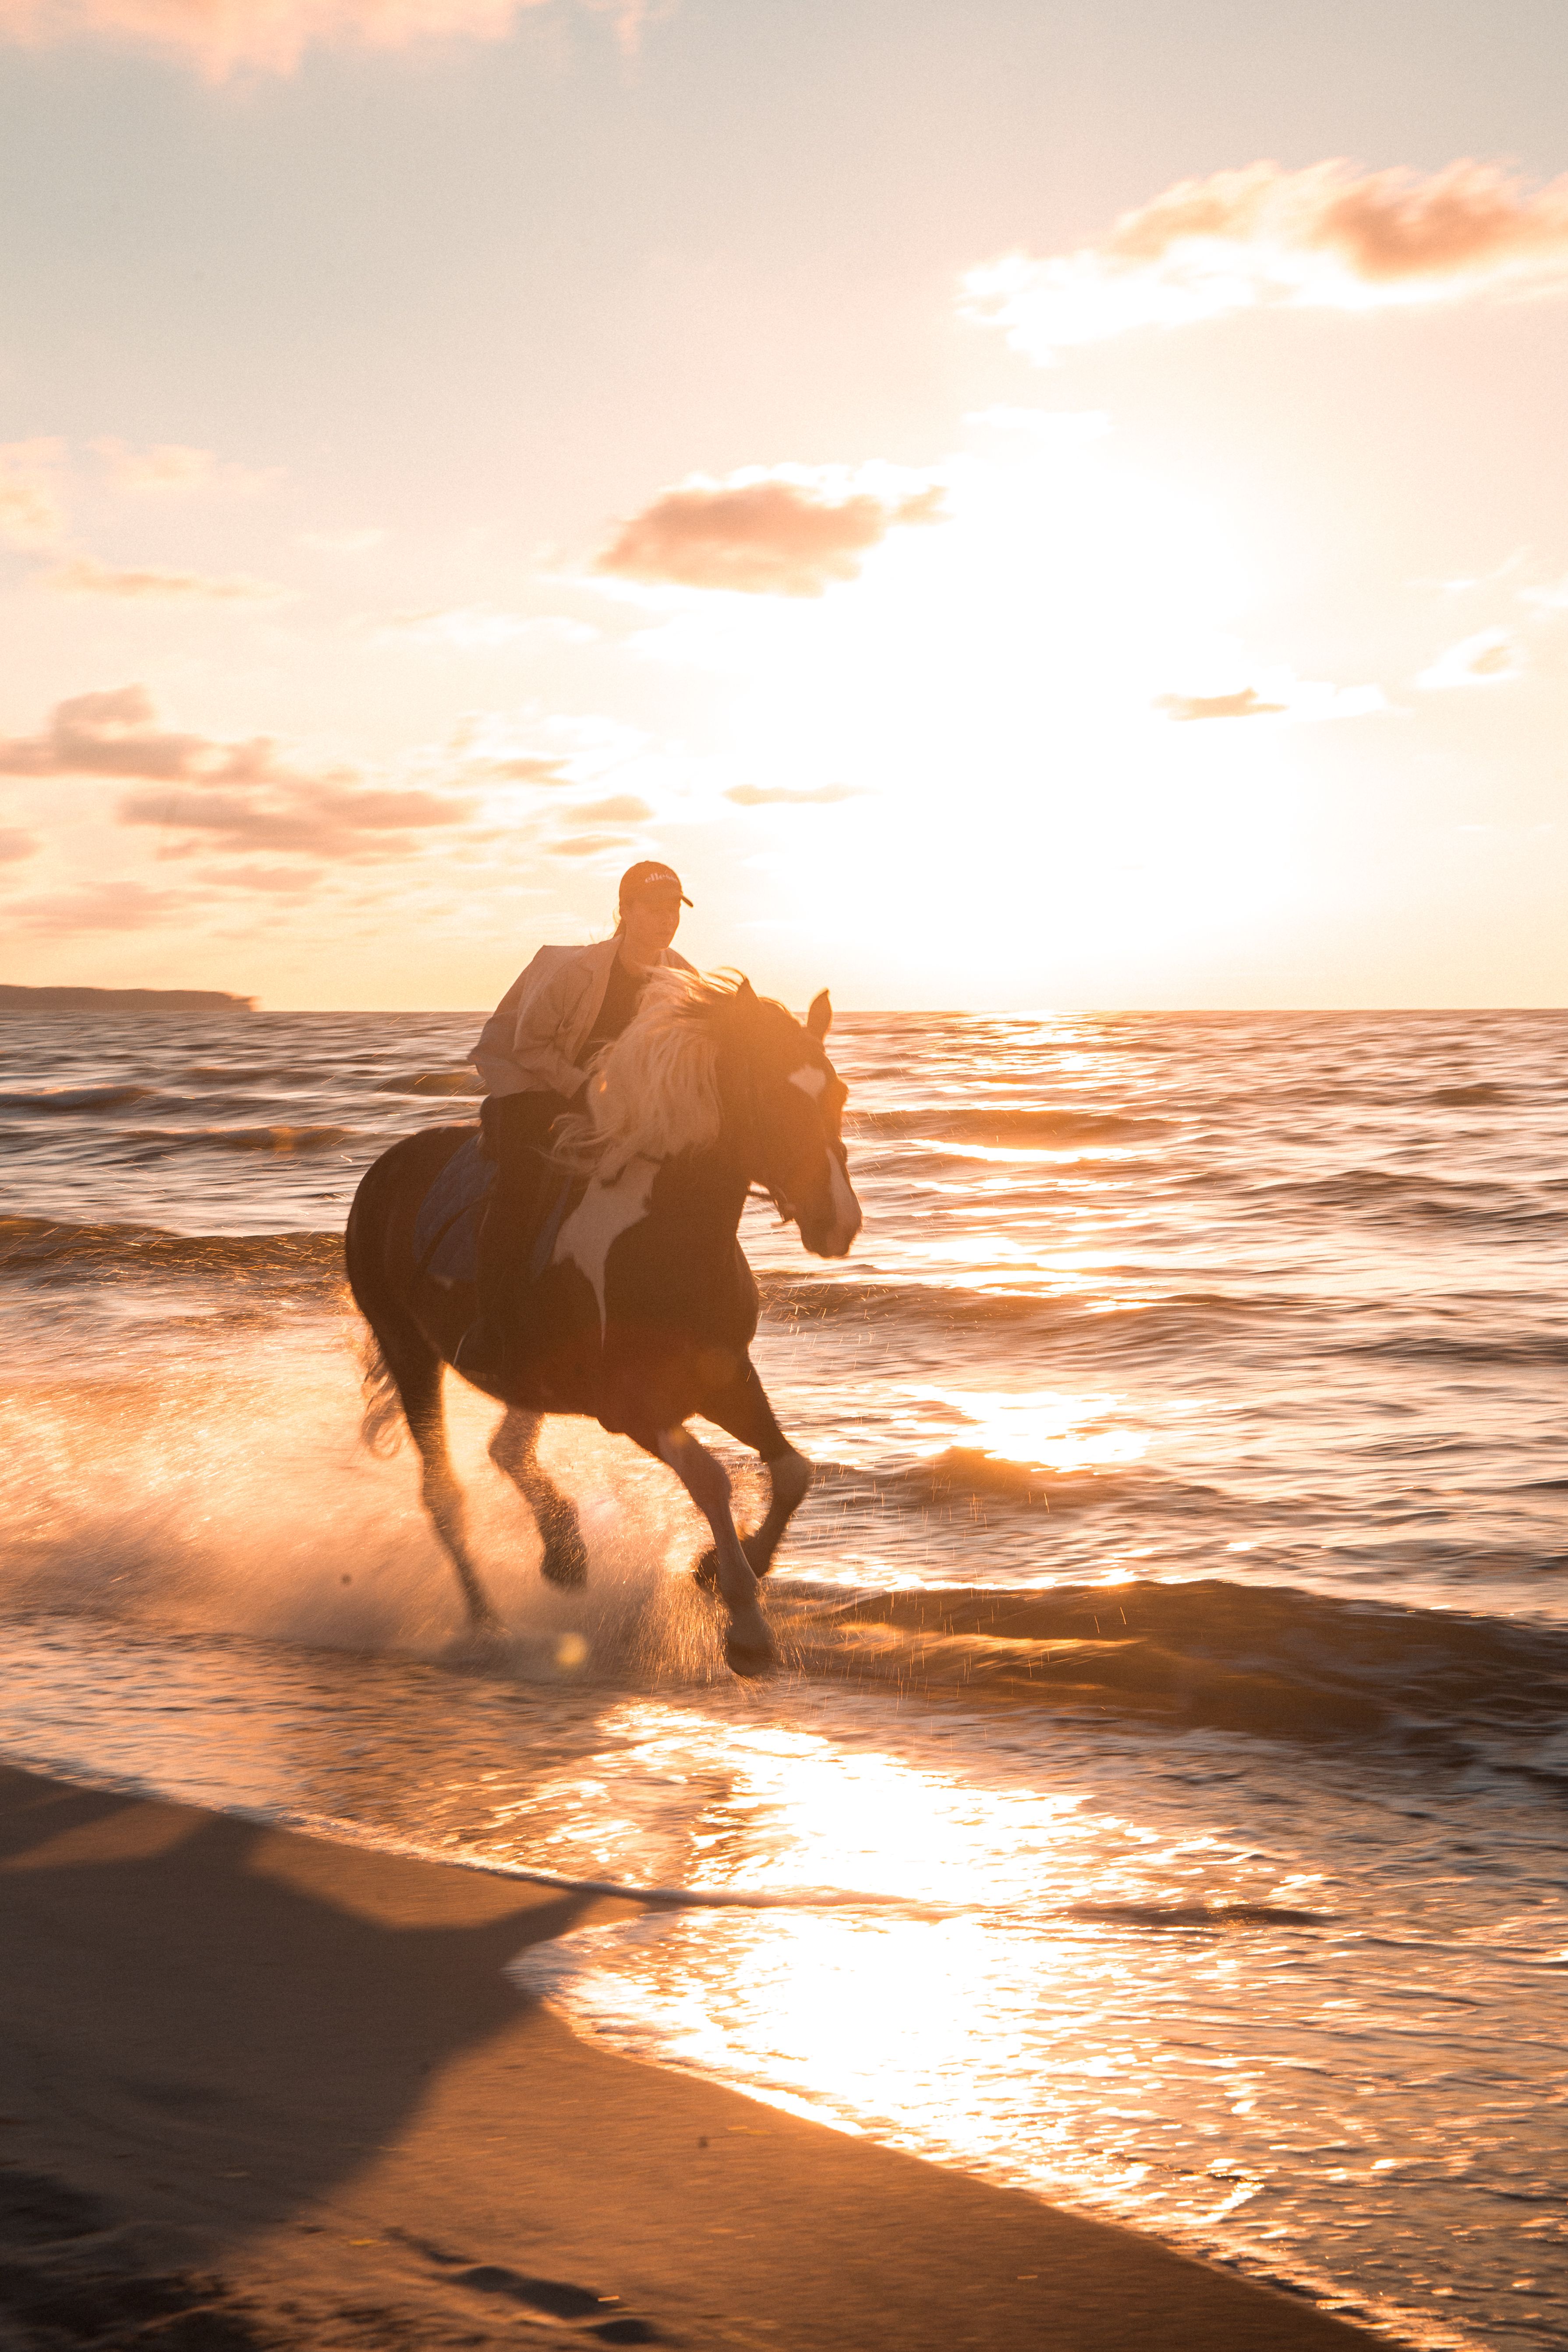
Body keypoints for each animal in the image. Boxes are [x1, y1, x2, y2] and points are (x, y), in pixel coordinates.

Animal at [345, 969, 862, 1676]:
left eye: (836, 1092)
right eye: (769, 1097)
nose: (838, 1223)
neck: (665, 1235)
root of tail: (384, 1168)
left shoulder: (725, 1373)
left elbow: (792, 1471)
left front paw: (717, 1568)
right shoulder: (631, 1405)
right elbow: (711, 1477)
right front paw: (745, 1624)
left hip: (531, 1377)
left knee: (506, 1449)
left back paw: (564, 1552)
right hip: (408, 1349)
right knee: (444, 1493)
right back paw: (489, 1627)